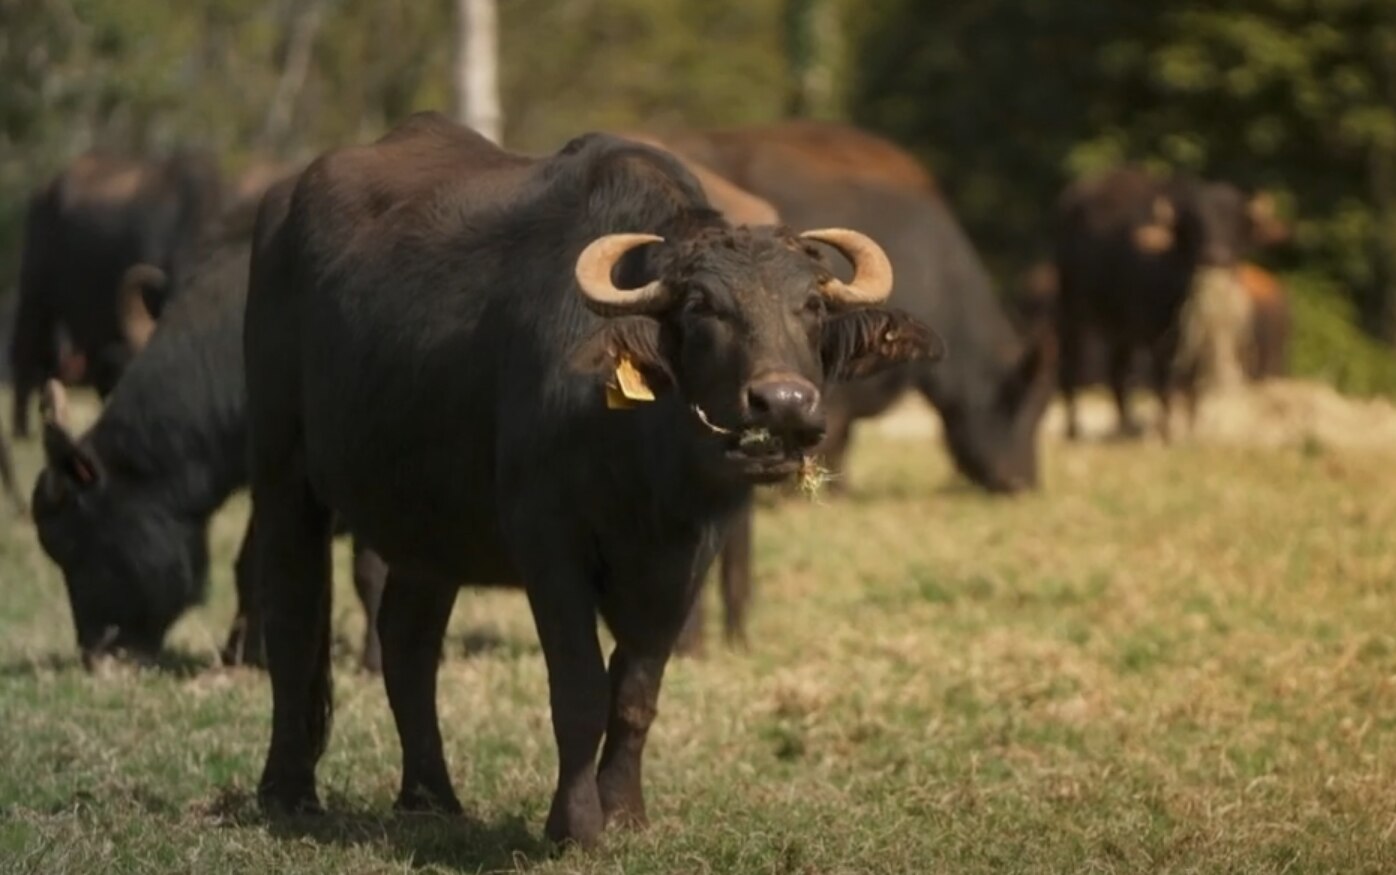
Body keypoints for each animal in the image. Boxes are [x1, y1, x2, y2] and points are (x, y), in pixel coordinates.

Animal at [244, 113, 941, 844]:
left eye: (811, 306)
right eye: (702, 306)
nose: (781, 404)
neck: (645, 463)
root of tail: (279, 204)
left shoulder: (687, 559)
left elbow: (635, 691)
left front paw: (626, 810)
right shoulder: (549, 543)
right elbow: (578, 688)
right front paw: (574, 822)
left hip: (430, 524)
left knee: (408, 640)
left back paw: (430, 796)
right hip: (284, 474)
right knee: (293, 621)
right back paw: (288, 790)